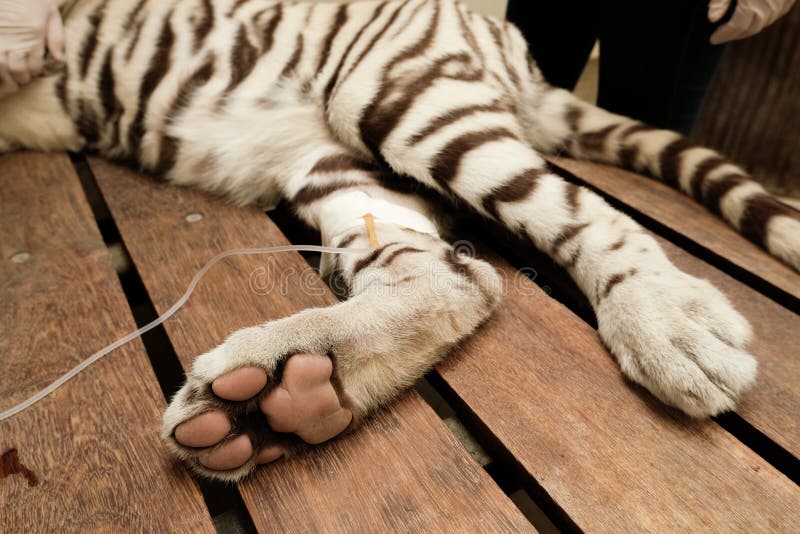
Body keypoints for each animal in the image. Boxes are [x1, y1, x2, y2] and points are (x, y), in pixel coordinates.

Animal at [1, 0, 798, 481]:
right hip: (329, 160)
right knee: (456, 279)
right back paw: (283, 393)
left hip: (398, 89)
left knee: (585, 212)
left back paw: (667, 324)